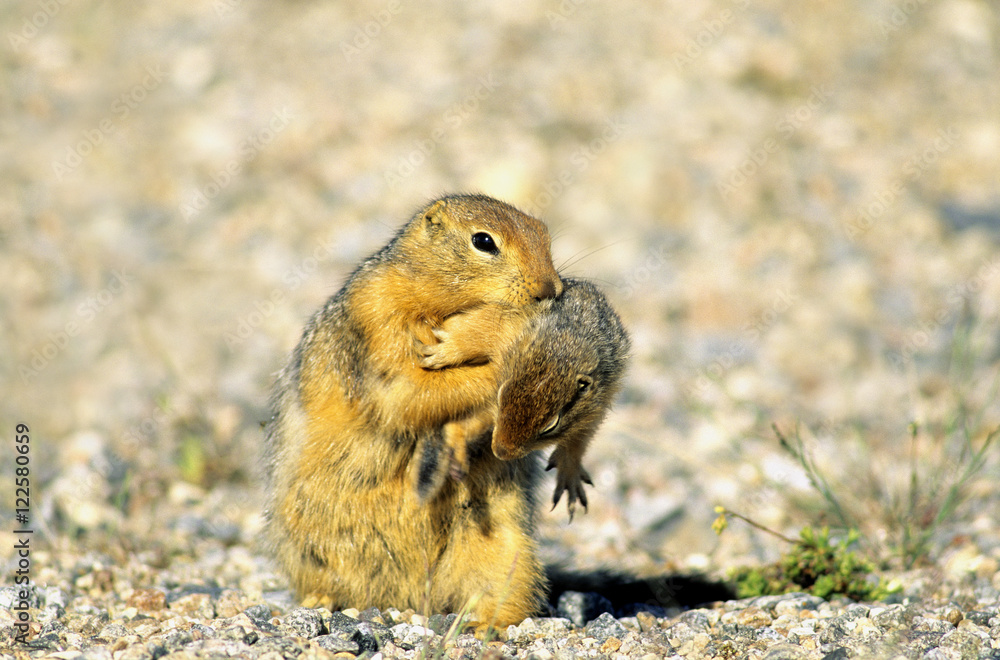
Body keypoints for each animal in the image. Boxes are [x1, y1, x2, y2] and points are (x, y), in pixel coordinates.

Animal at [263, 194, 561, 632]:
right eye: (484, 241)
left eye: (544, 233)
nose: (551, 289)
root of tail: (408, 601)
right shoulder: (379, 317)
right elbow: (408, 391)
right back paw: (323, 602)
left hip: (506, 547)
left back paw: (487, 625)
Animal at [415, 278, 630, 520]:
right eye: (502, 394)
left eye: (550, 426)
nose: (501, 452)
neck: (566, 344)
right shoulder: (505, 327)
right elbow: (476, 331)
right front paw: (444, 349)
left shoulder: (598, 405)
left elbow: (578, 442)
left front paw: (569, 473)